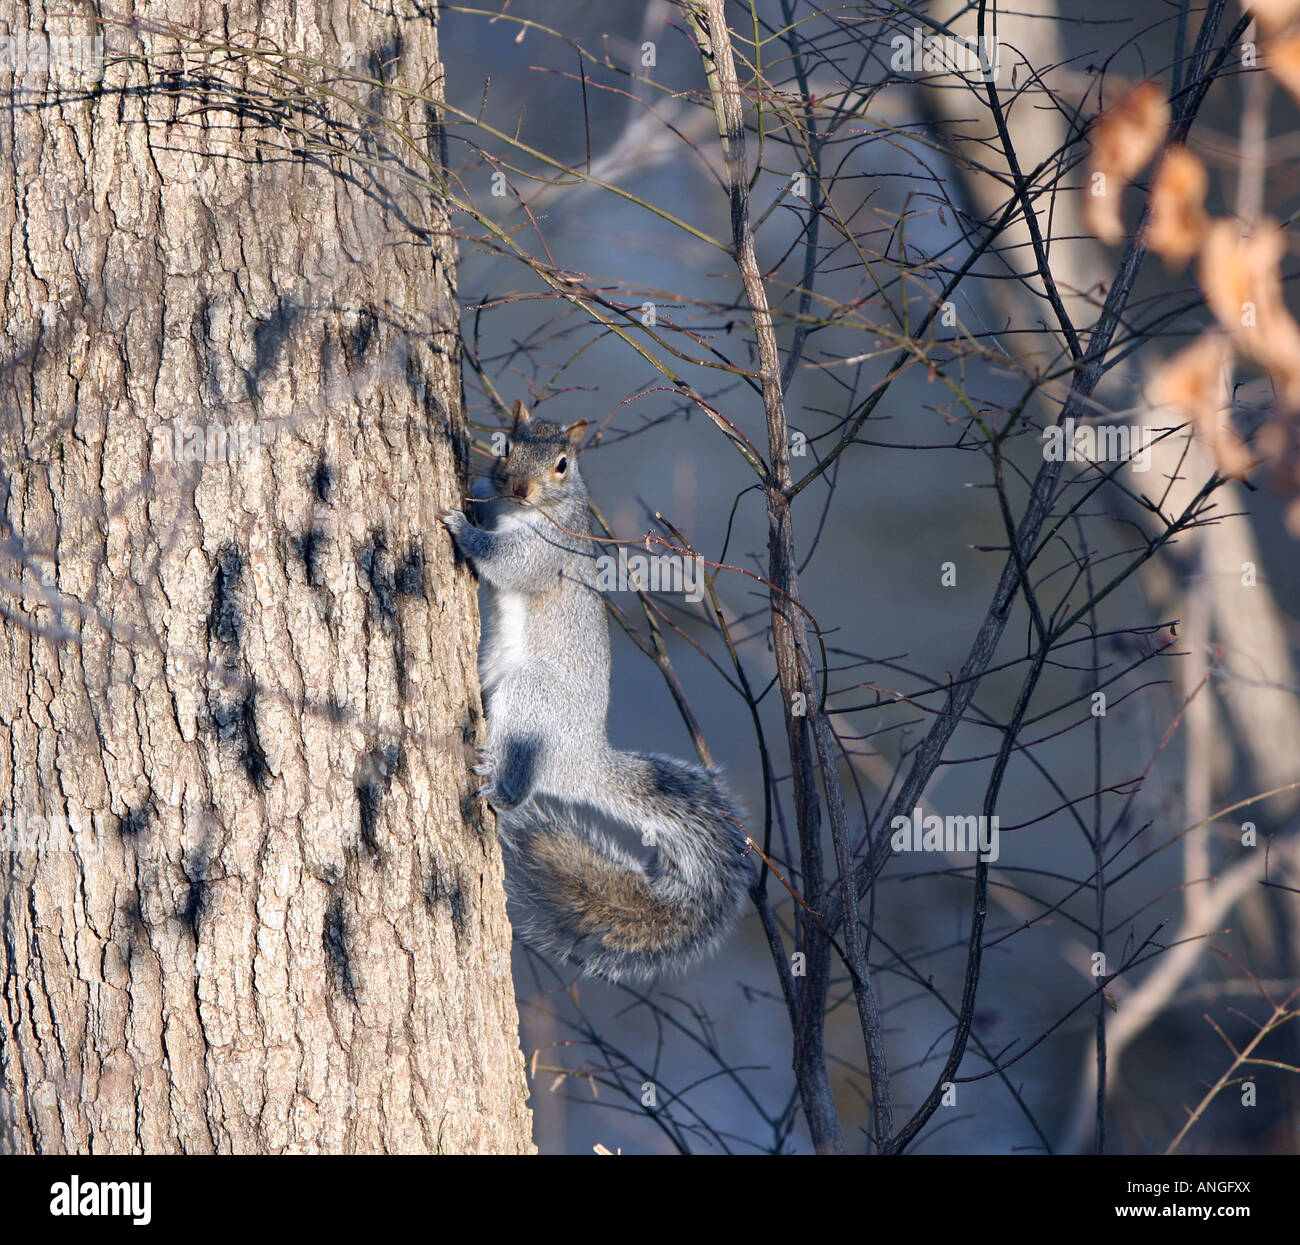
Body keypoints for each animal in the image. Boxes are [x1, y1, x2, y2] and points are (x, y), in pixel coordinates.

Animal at [439, 401, 753, 982]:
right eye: (507, 447)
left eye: (563, 464)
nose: (518, 488)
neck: (520, 512)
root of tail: (584, 757)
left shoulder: (544, 554)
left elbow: (506, 563)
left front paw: (458, 524)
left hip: (534, 693)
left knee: (523, 778)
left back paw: (498, 783)